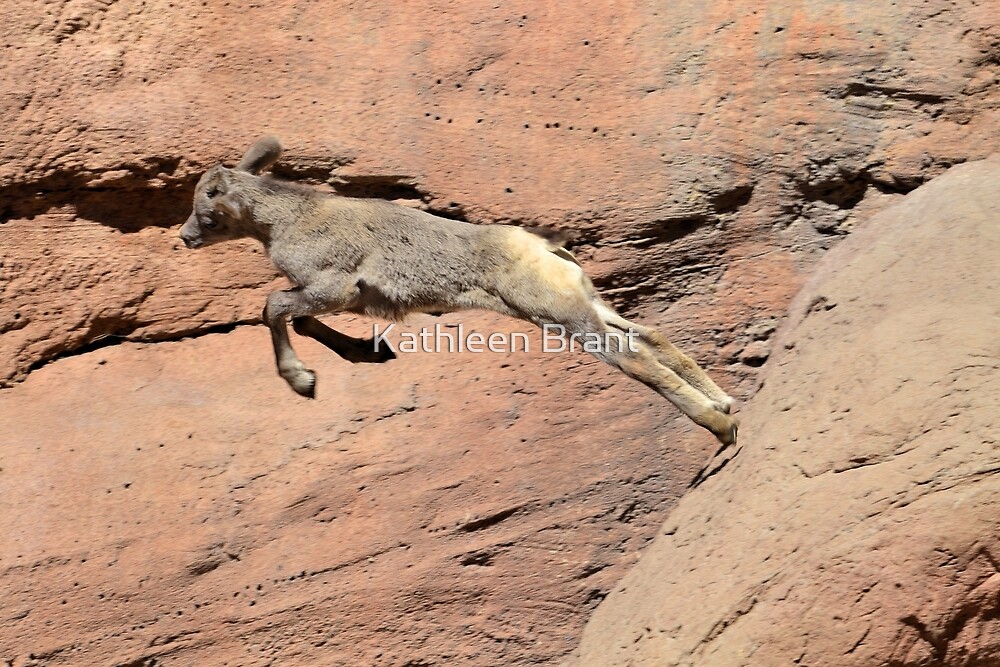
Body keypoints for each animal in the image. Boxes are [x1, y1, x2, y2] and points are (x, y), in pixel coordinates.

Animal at [179, 136, 738, 445]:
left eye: (207, 207)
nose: (184, 237)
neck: (290, 220)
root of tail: (542, 246)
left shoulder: (332, 286)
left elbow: (276, 308)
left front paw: (302, 381)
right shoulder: (332, 297)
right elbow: (302, 319)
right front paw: (368, 354)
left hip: (561, 315)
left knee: (630, 357)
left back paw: (718, 425)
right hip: (583, 304)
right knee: (650, 338)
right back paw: (728, 404)